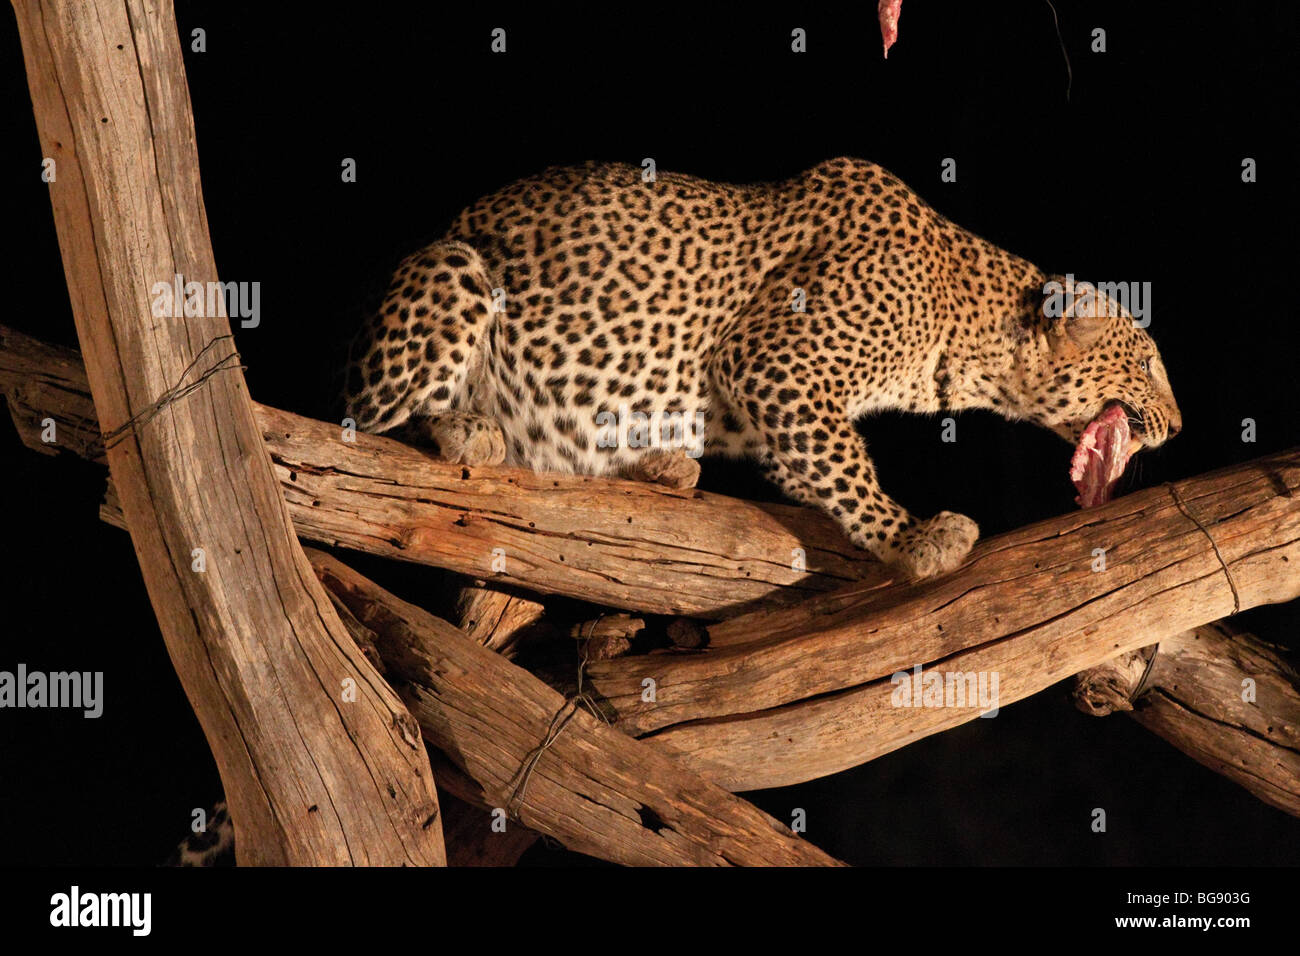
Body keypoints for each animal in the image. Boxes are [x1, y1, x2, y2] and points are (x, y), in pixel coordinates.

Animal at [341, 158, 1181, 580]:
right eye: (1148, 362)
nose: (1179, 425)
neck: (965, 319)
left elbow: (819, 462)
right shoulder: (773, 356)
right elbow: (846, 463)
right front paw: (913, 537)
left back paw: (663, 468)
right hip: (455, 272)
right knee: (367, 416)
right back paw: (465, 425)